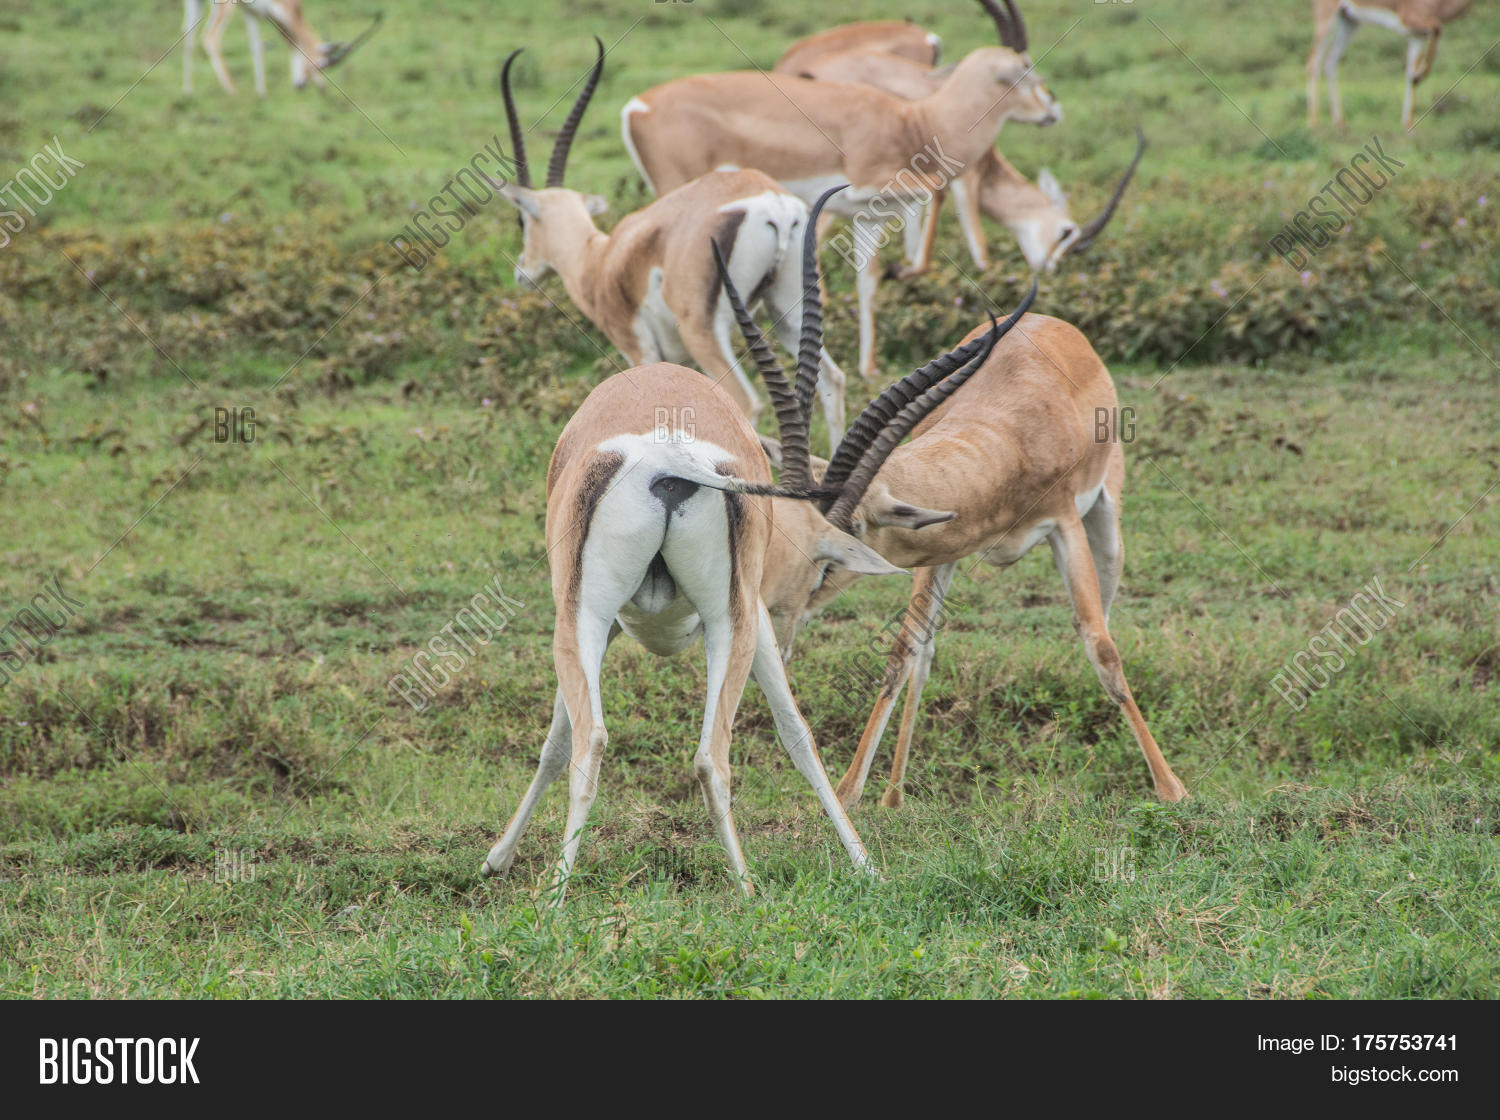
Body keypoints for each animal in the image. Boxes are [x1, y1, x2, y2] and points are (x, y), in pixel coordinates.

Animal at [182, 0, 381, 96]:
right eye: (321, 65)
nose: (302, 86)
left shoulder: (251, 13)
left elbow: (256, 46)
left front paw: (261, 92)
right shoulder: (280, 14)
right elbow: (291, 41)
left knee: (187, 35)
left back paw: (188, 92)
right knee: (210, 38)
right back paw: (232, 91)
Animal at [480, 187, 1032, 901]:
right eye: (816, 571)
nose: (796, 627)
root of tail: (668, 461)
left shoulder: (603, 624)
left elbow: (557, 740)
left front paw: (498, 857)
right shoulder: (758, 621)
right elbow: (798, 734)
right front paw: (866, 864)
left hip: (604, 618)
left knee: (603, 741)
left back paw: (566, 894)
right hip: (726, 623)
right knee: (703, 753)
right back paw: (739, 889)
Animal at [496, 41, 851, 442]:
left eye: (521, 220)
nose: (522, 272)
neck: (599, 260)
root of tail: (771, 200)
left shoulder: (639, 351)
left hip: (705, 331)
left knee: (747, 403)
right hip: (787, 309)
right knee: (833, 380)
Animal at [621, 2, 1060, 380]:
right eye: (1026, 70)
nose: (1053, 110)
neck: (914, 122)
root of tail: (635, 107)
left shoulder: (870, 217)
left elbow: (869, 282)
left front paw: (870, 368)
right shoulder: (858, 192)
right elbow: (932, 201)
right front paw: (903, 272)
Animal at [1307, 1, 1475, 131]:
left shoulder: (1417, 36)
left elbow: (1410, 73)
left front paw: (1408, 126)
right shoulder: (1411, 21)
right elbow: (1438, 29)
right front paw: (1419, 76)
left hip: (1350, 21)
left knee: (1330, 61)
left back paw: (1340, 124)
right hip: (1327, 17)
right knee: (1313, 61)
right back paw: (1314, 124)